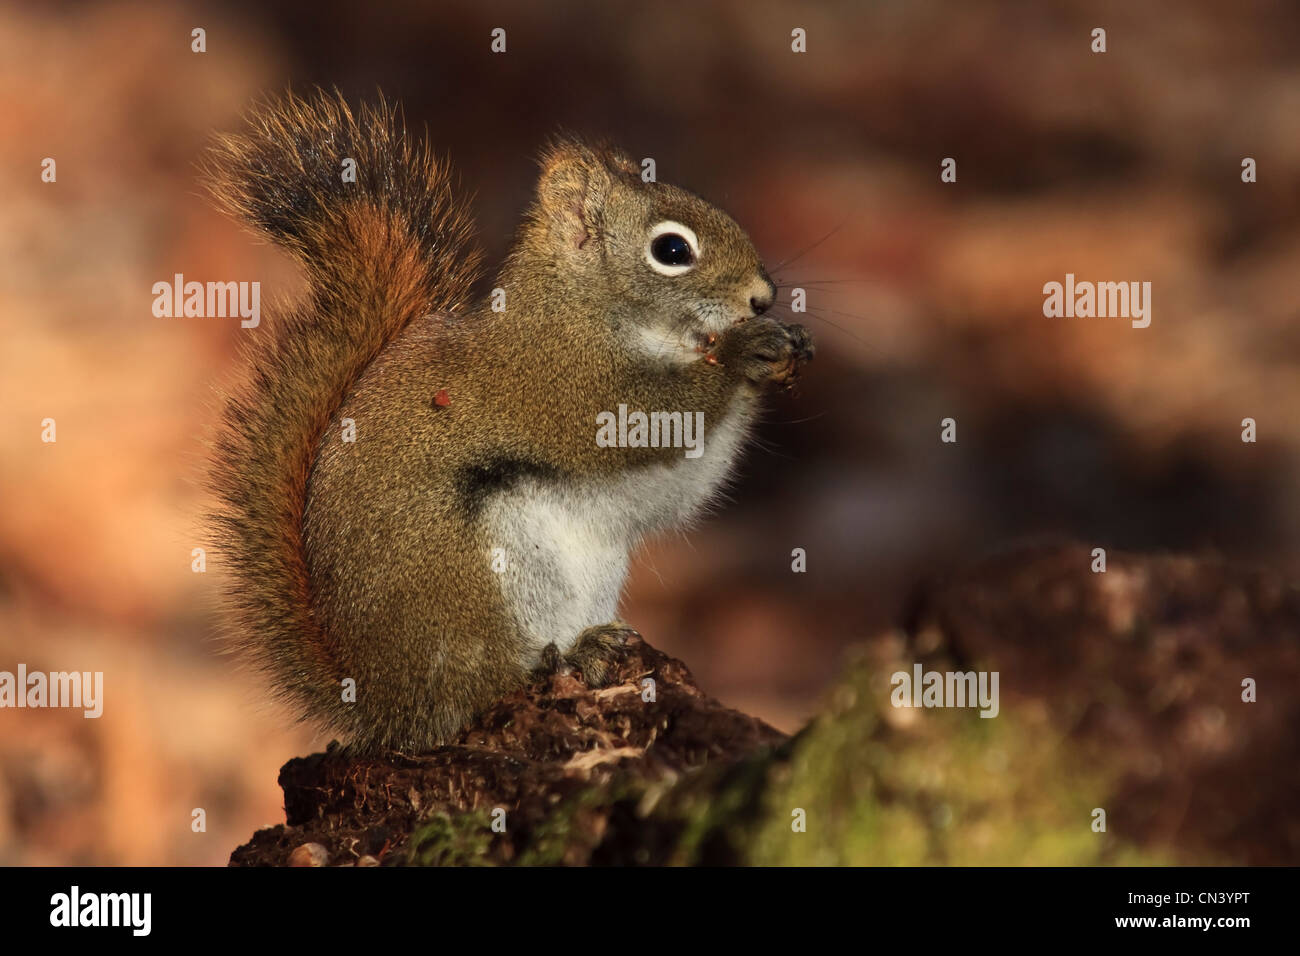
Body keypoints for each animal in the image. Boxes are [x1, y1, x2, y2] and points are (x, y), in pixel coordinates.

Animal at [204, 90, 813, 753]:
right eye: (672, 250)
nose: (762, 296)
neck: (581, 310)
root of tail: (381, 707)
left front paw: (786, 347)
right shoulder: (561, 388)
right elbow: (653, 419)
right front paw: (746, 352)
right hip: (465, 581)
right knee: (480, 687)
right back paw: (564, 659)